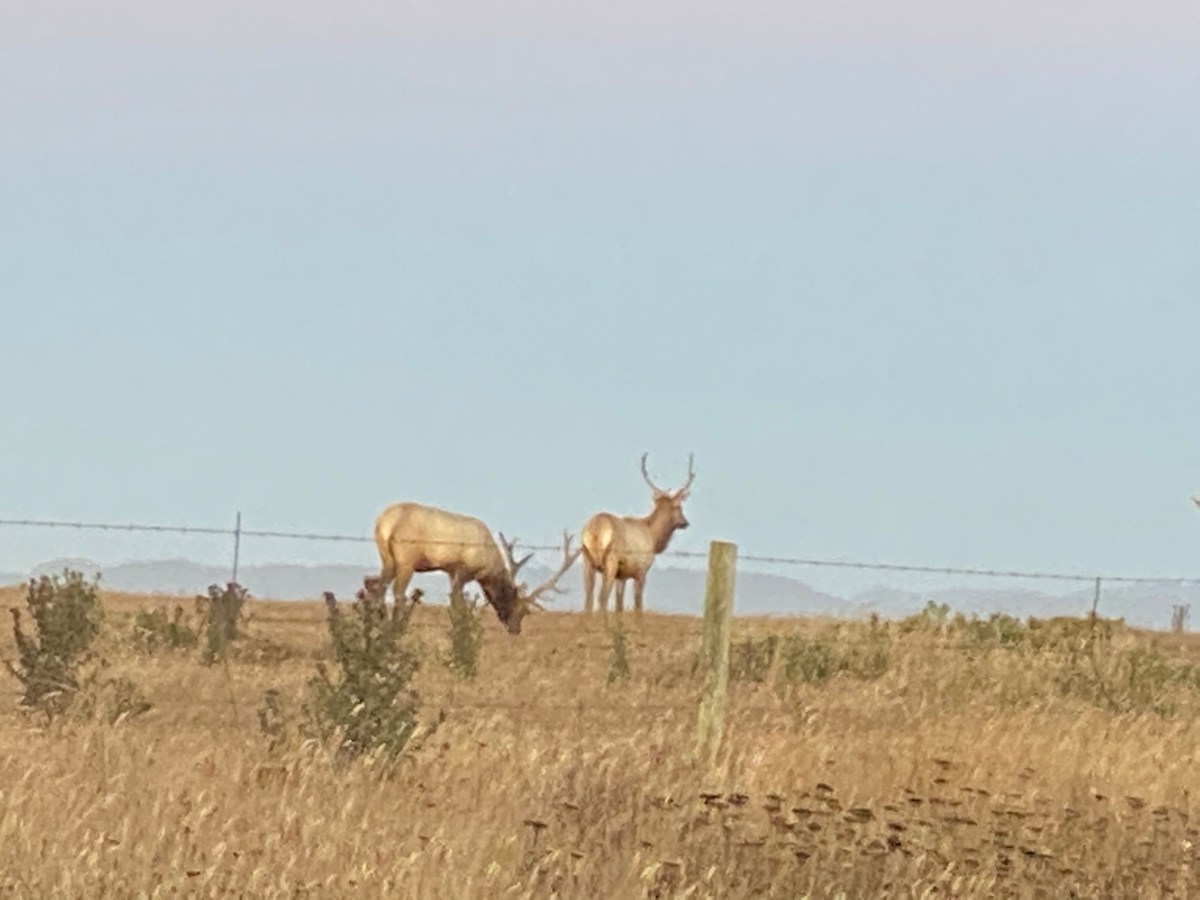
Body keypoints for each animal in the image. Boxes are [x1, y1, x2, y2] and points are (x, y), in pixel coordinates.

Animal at [367, 501, 581, 635]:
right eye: (521, 609)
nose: (515, 630)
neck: (487, 564)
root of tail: (384, 522)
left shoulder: (451, 571)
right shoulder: (462, 569)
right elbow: (456, 601)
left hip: (387, 558)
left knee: (378, 586)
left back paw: (380, 621)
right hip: (406, 559)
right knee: (397, 592)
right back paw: (395, 626)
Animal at [580, 452, 695, 618]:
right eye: (679, 507)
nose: (685, 522)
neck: (653, 538)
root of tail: (595, 531)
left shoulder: (621, 576)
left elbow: (619, 606)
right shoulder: (641, 570)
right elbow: (638, 606)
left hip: (586, 559)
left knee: (588, 599)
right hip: (610, 560)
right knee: (602, 598)